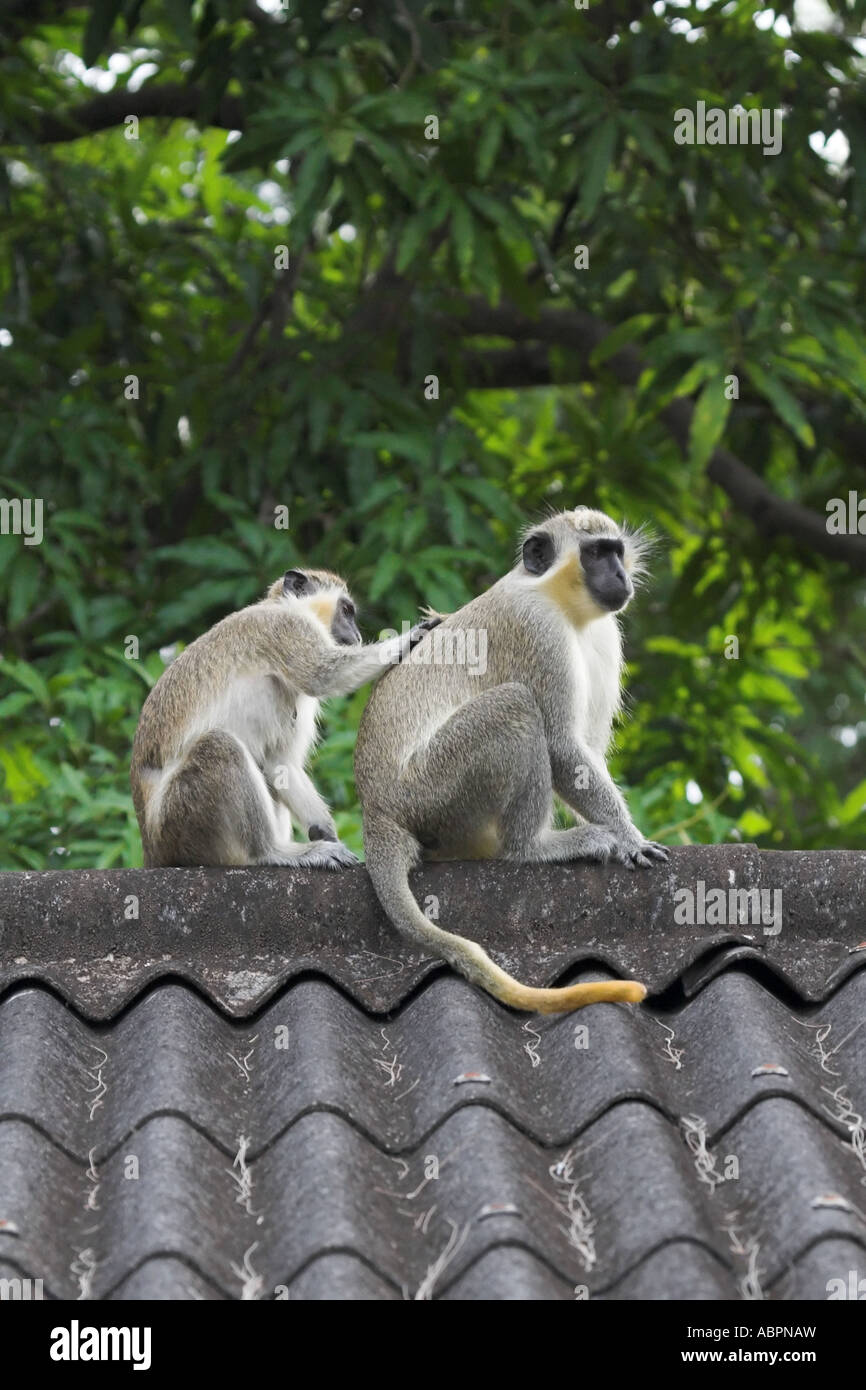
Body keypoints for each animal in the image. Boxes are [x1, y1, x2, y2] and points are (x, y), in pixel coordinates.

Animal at [131, 568, 438, 869]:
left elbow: (281, 762)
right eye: (347, 611)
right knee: (220, 745)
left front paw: (325, 832)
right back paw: (271, 853)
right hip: (180, 822)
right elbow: (325, 675)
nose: (357, 636)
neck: (282, 605)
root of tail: (151, 849)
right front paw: (414, 634)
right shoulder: (285, 628)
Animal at [354, 506, 669, 1015]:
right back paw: (534, 848)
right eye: (595, 554)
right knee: (517, 705)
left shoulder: (606, 635)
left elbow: (587, 751)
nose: (621, 576)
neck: (560, 603)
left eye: (616, 551)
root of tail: (376, 809)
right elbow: (562, 746)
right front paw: (629, 837)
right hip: (430, 789)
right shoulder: (536, 629)